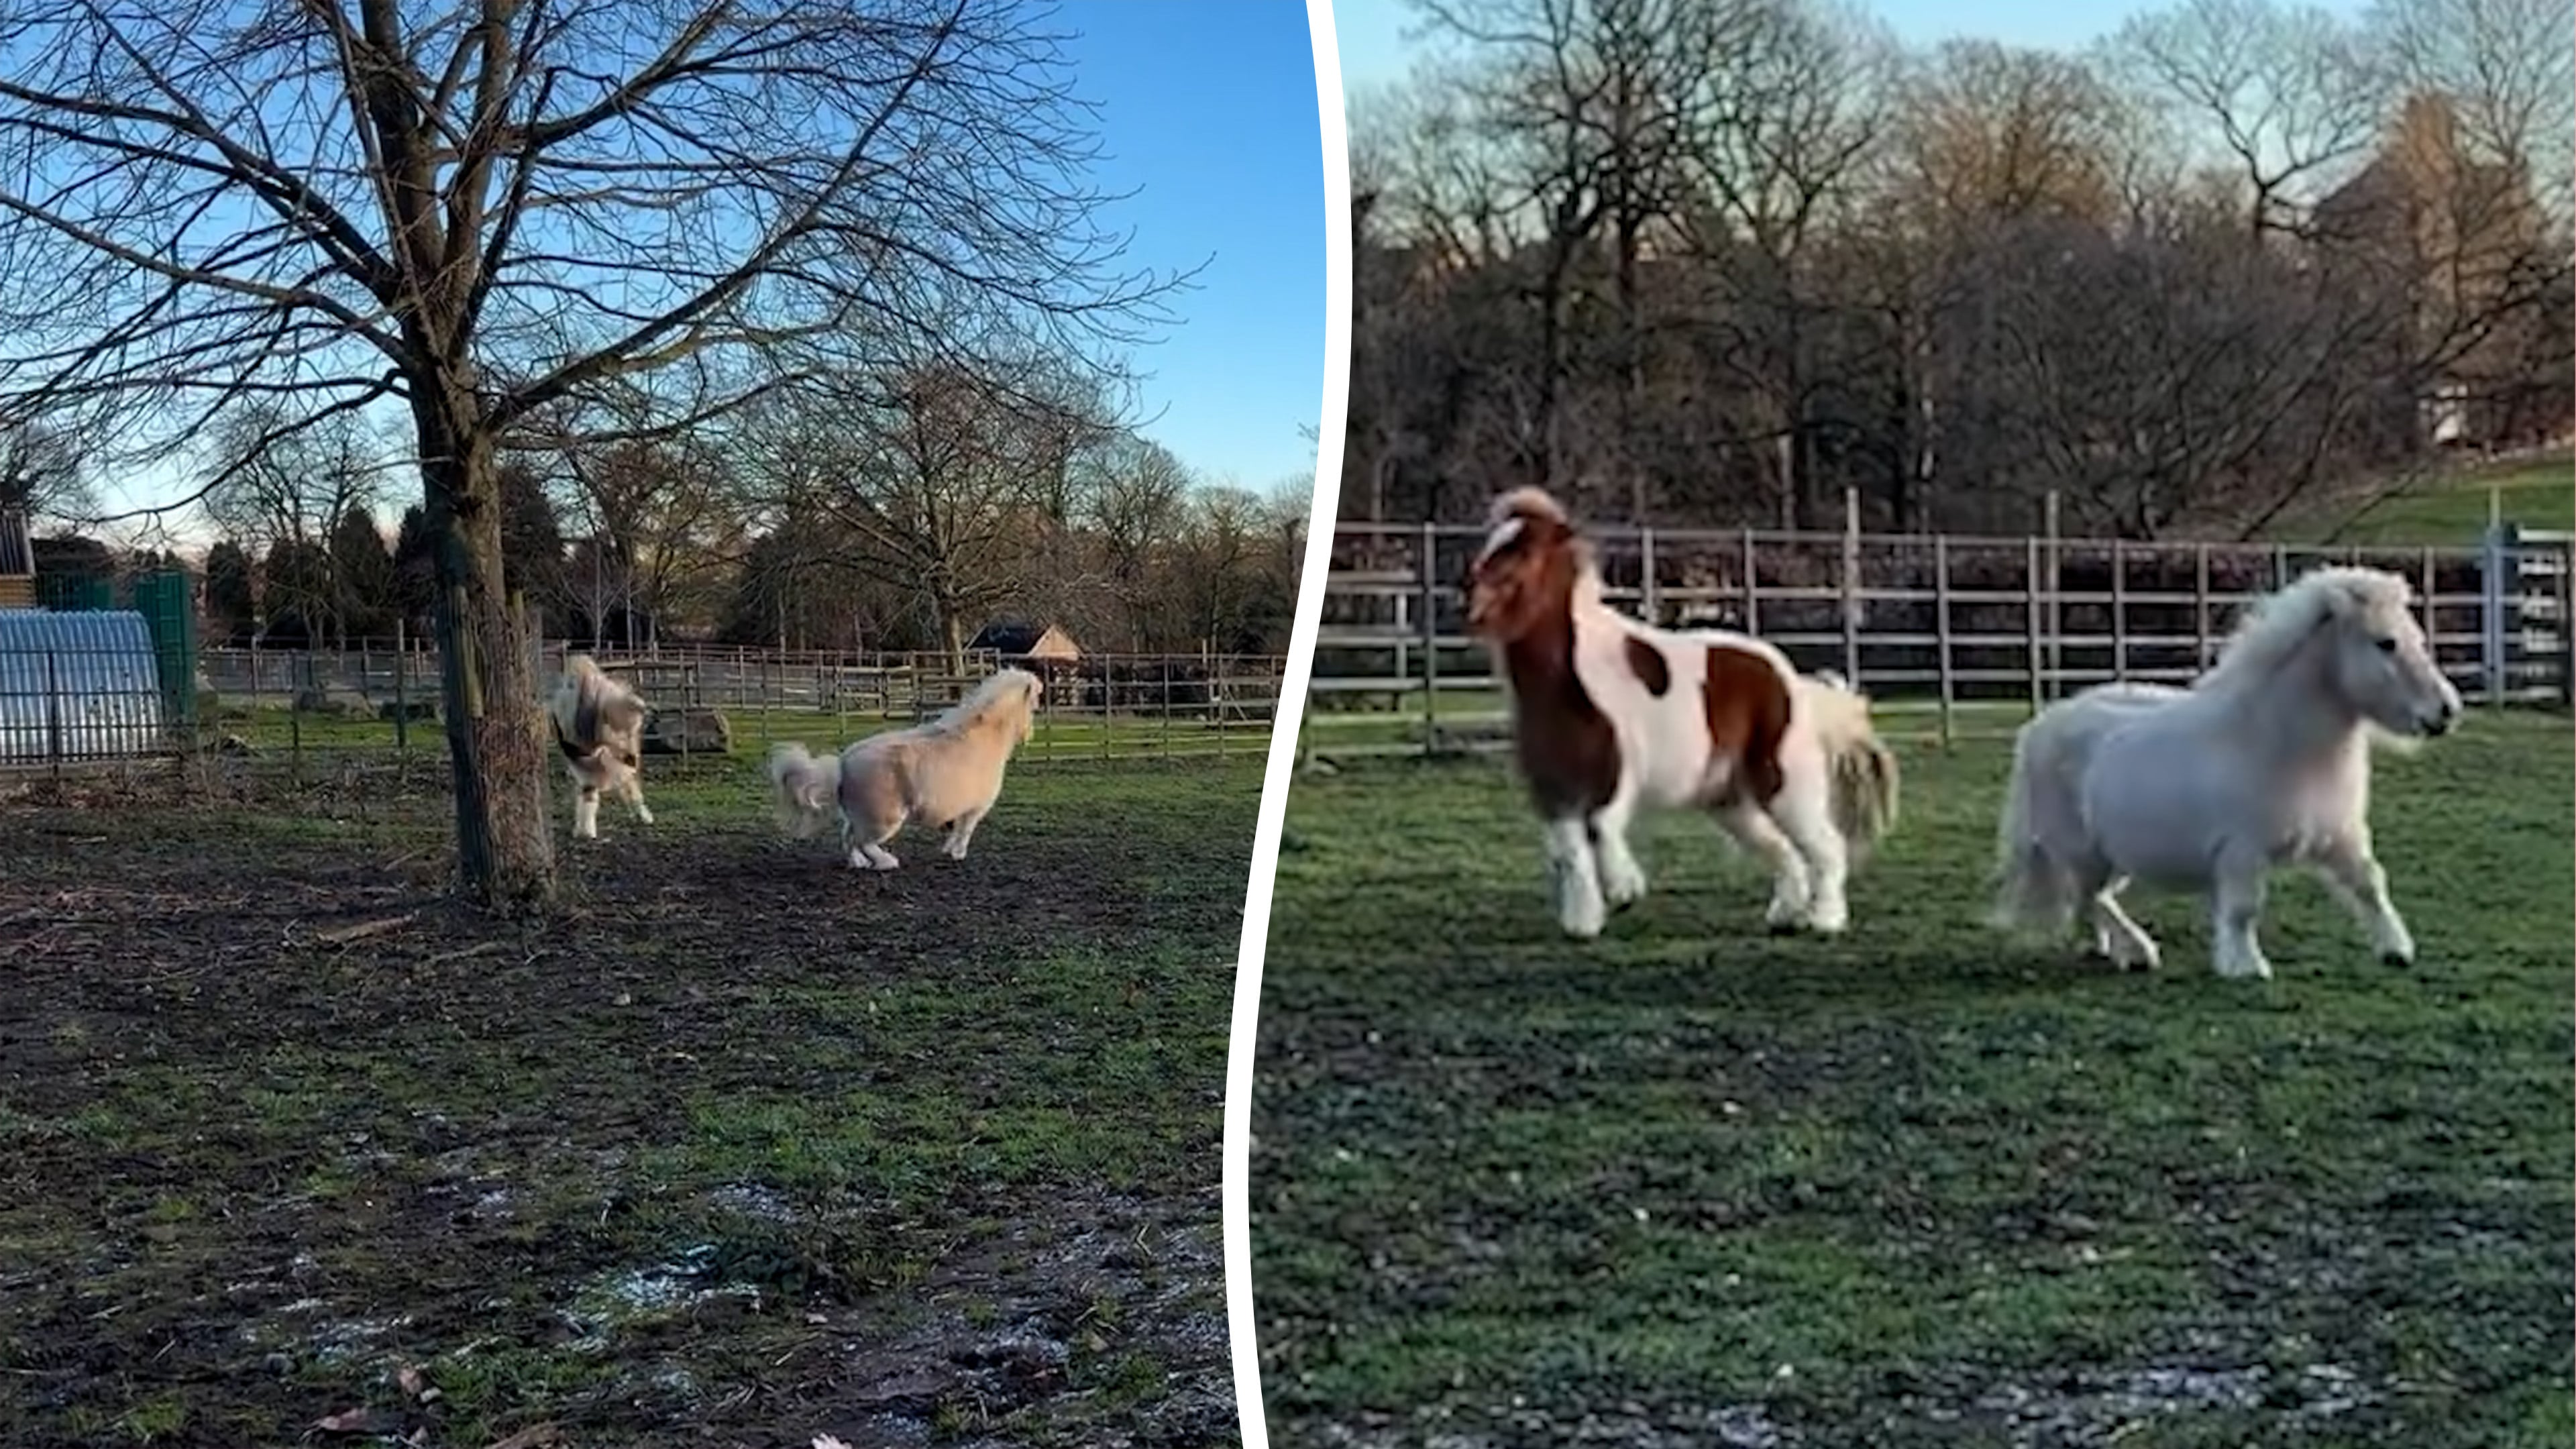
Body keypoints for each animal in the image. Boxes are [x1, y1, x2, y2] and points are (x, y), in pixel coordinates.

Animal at [768, 667, 1045, 871]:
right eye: (1034, 704)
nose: (1029, 735)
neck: (983, 736)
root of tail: (843, 763)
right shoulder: (975, 808)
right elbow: (965, 831)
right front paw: (958, 854)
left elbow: (956, 830)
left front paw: (949, 850)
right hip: (883, 820)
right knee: (862, 841)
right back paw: (887, 862)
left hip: (859, 815)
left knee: (848, 838)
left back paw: (859, 864)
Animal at [1461, 487, 1902, 940]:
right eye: (1494, 540)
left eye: (1523, 548)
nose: (1468, 589)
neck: (1572, 681)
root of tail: (1794, 684)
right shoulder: (1554, 786)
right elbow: (1571, 853)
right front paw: (1583, 922)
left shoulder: (1615, 772)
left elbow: (1602, 827)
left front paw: (1624, 890)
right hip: (1730, 800)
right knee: (1782, 849)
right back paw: (1786, 916)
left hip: (1785, 784)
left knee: (1826, 846)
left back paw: (1825, 920)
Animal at [1989, 564, 2462, 980]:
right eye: (2386, 643)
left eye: (2417, 638)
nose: (2447, 711)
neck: (2279, 743)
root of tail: (2040, 727)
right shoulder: (2242, 850)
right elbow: (2243, 910)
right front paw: (2246, 967)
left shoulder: (2339, 838)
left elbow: (2370, 885)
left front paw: (2397, 950)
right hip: (2082, 852)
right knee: (2090, 898)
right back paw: (2139, 952)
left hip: (2113, 856)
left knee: (2093, 901)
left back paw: (2110, 949)